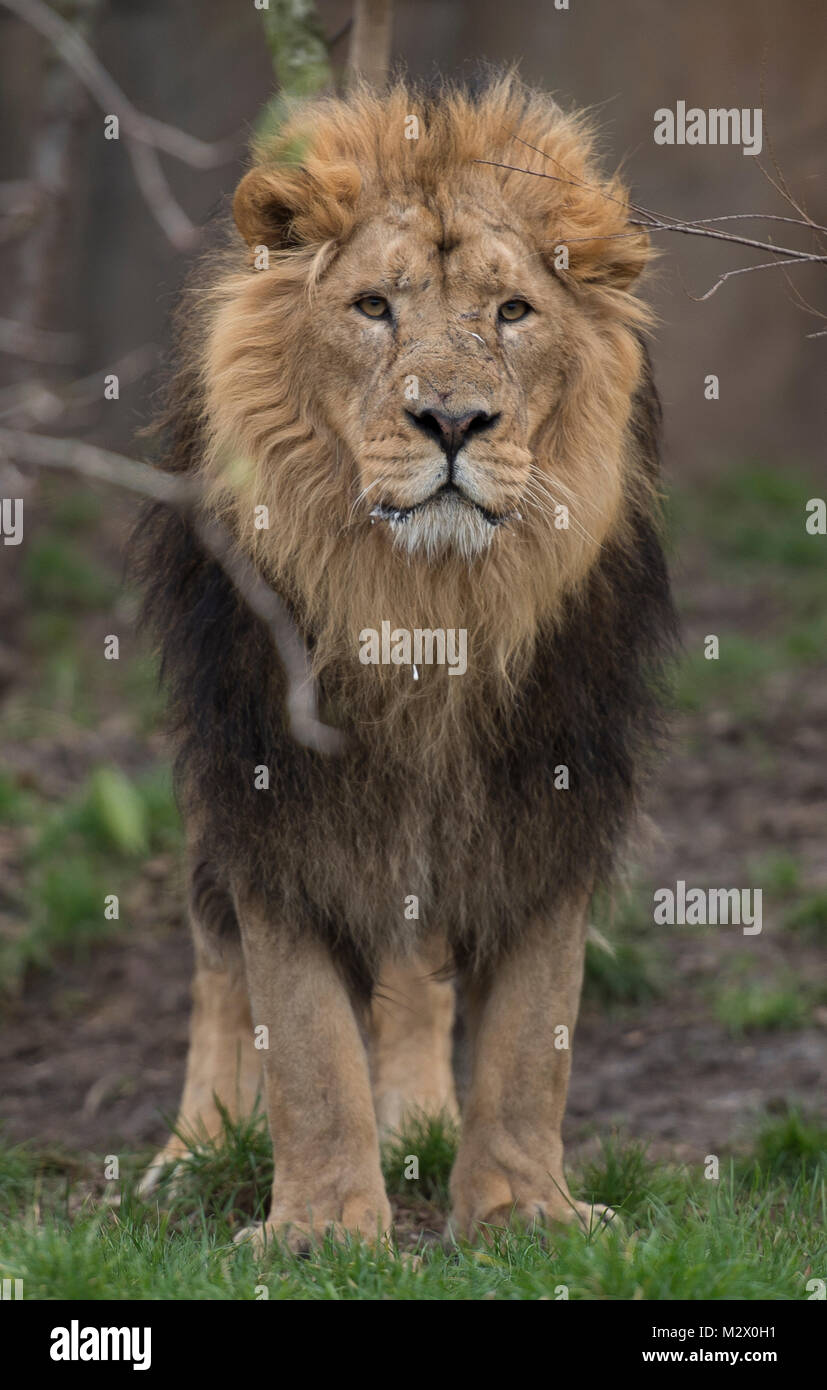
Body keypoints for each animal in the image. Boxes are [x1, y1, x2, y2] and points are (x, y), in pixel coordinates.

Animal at [134, 75, 676, 1248]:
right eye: (373, 308)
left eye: (512, 313)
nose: (453, 420)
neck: (427, 605)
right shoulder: (275, 790)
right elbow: (299, 1036)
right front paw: (322, 1229)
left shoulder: (549, 788)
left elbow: (530, 1031)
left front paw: (523, 1208)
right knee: (213, 958)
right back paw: (189, 1153)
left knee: (416, 965)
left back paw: (419, 1120)